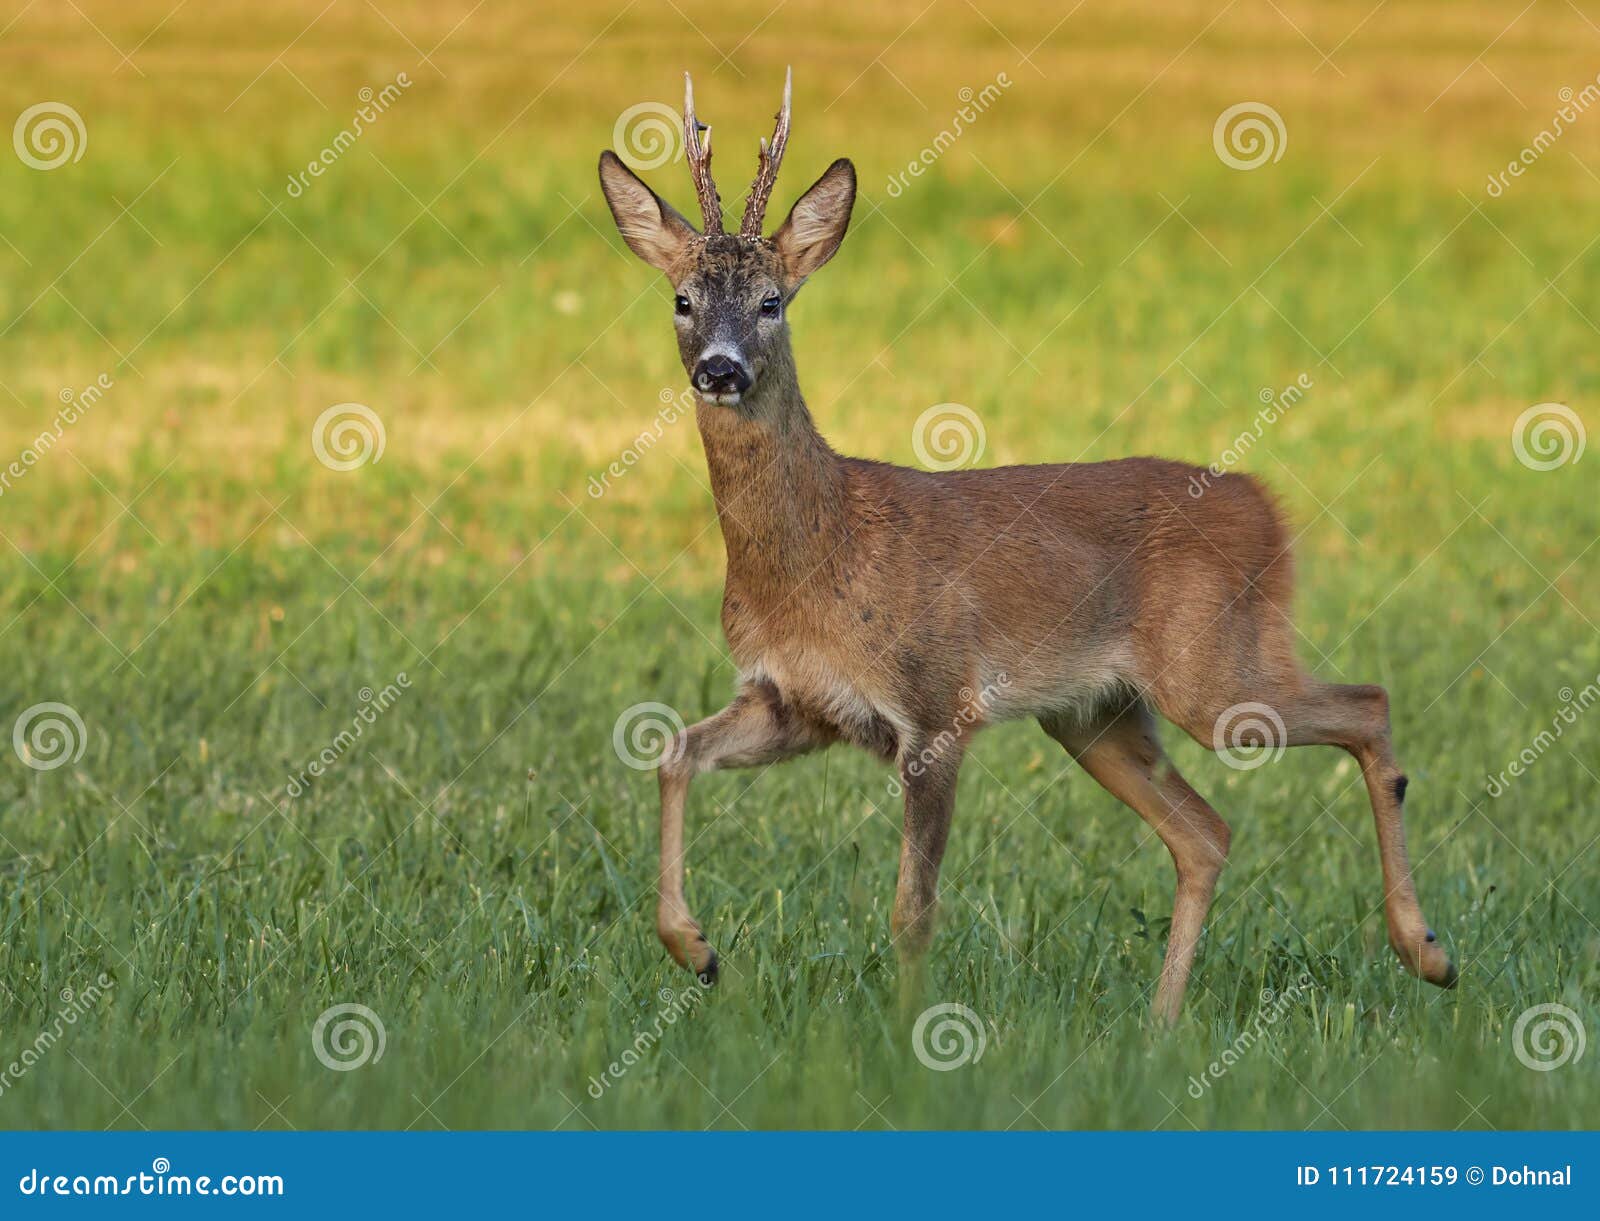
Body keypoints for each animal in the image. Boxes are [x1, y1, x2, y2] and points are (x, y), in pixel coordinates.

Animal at [597, 69, 1457, 1023]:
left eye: (771, 301)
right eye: (682, 299)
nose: (720, 369)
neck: (820, 550)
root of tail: (1264, 502)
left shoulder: (936, 704)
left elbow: (912, 909)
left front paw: (903, 1034)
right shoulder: (794, 702)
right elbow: (673, 751)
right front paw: (697, 949)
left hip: (1211, 670)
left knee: (1367, 703)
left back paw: (1426, 950)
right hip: (1092, 713)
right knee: (1205, 830)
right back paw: (1162, 1024)